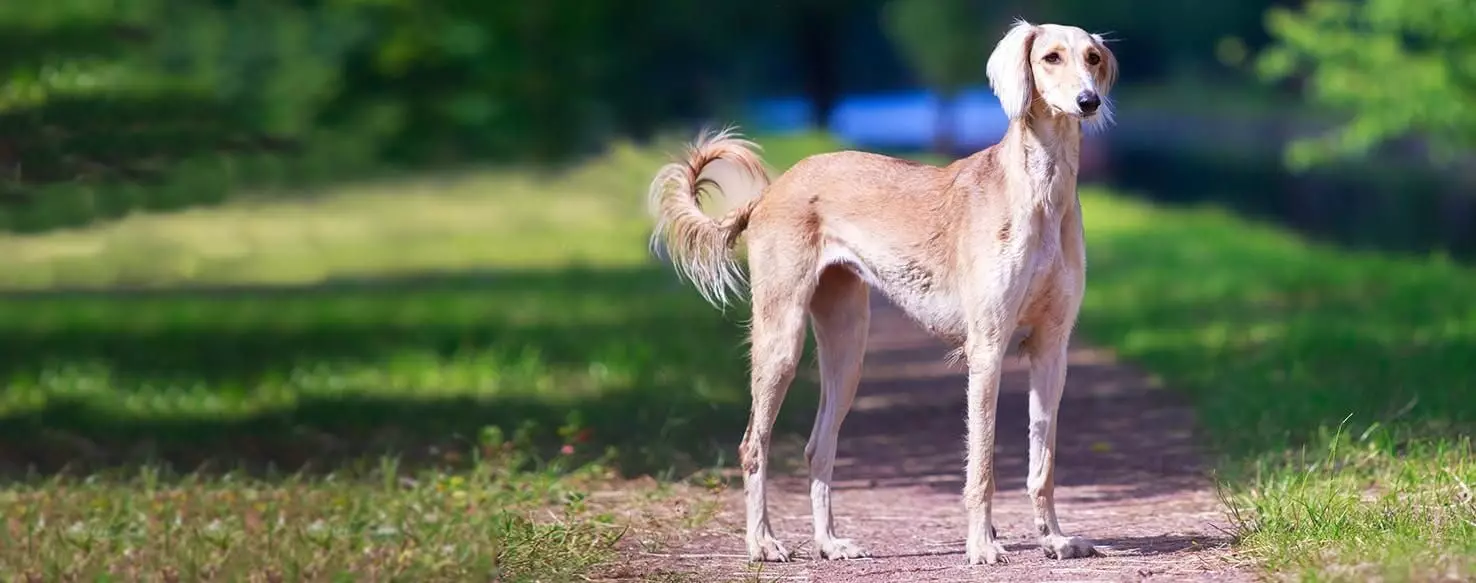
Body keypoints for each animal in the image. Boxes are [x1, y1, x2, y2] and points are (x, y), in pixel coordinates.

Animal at [646, 20, 1115, 569]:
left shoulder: (1052, 351)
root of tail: (771, 190)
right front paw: (982, 545)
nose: (1088, 102)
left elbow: (1044, 463)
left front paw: (1055, 540)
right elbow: (981, 465)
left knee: (818, 448)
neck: (1042, 192)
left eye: (1092, 58)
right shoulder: (987, 350)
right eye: (1051, 57)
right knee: (752, 446)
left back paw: (829, 543)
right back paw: (761, 542)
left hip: (848, 350)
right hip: (781, 341)